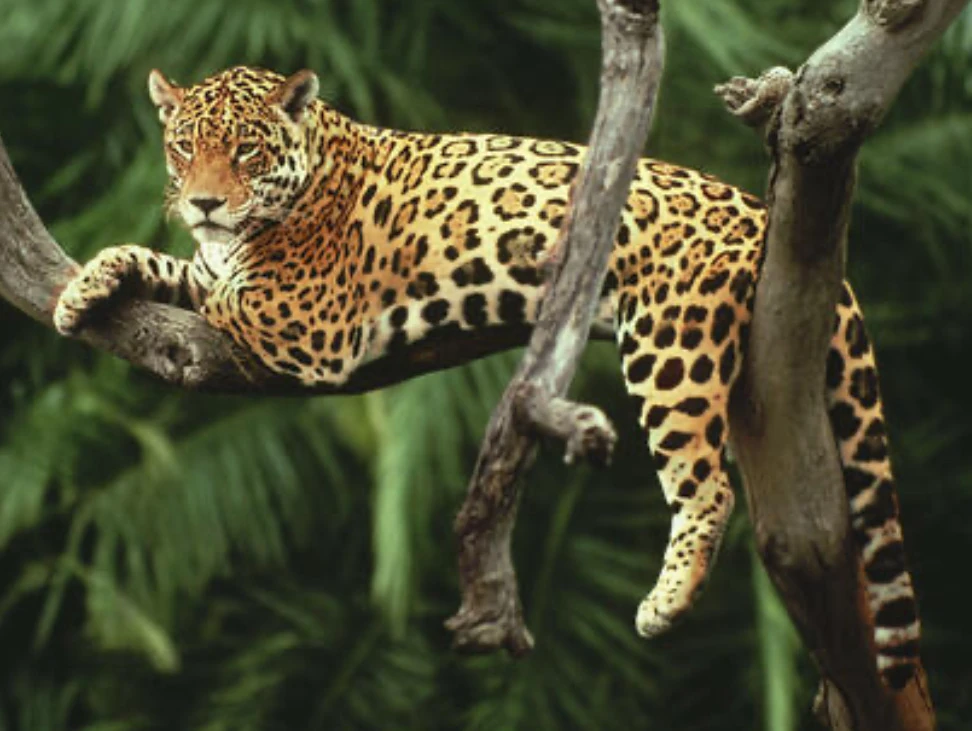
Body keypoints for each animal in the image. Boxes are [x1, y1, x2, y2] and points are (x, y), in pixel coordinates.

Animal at [53, 66, 921, 688]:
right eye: (182, 148)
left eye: (247, 151)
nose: (203, 202)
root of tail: (756, 210)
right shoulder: (223, 267)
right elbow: (172, 265)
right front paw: (84, 286)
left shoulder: (308, 320)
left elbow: (221, 288)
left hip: (670, 345)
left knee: (706, 485)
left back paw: (665, 602)